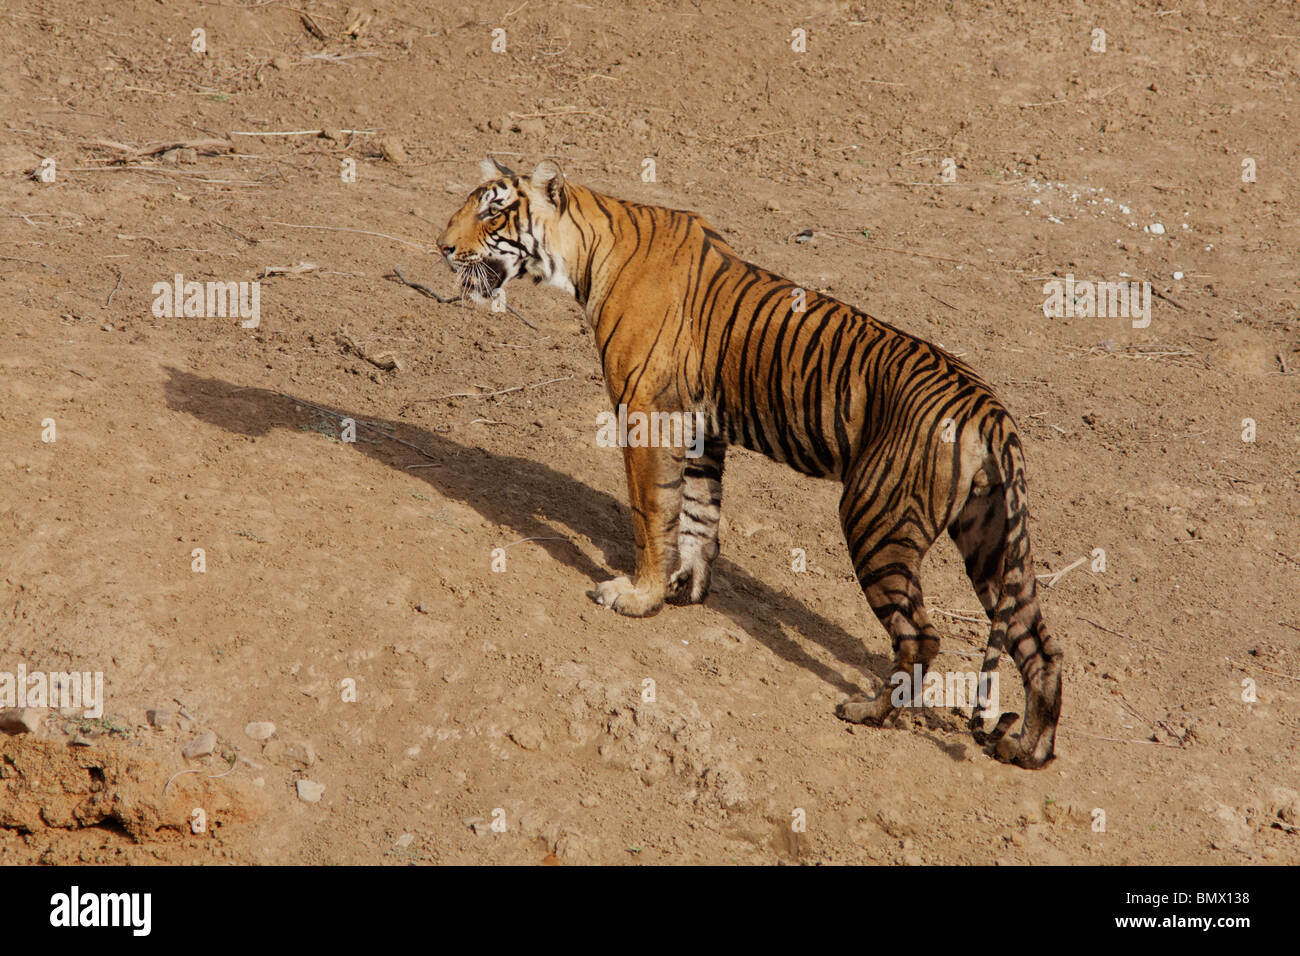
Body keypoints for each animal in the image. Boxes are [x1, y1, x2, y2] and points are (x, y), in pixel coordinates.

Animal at [436, 157, 1064, 768]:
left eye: (492, 215)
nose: (441, 246)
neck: (586, 252)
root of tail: (992, 411)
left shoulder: (645, 415)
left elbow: (651, 514)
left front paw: (638, 597)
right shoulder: (701, 430)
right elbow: (696, 515)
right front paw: (685, 589)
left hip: (875, 519)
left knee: (921, 636)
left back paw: (867, 711)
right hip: (992, 542)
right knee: (1041, 644)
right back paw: (1027, 749)